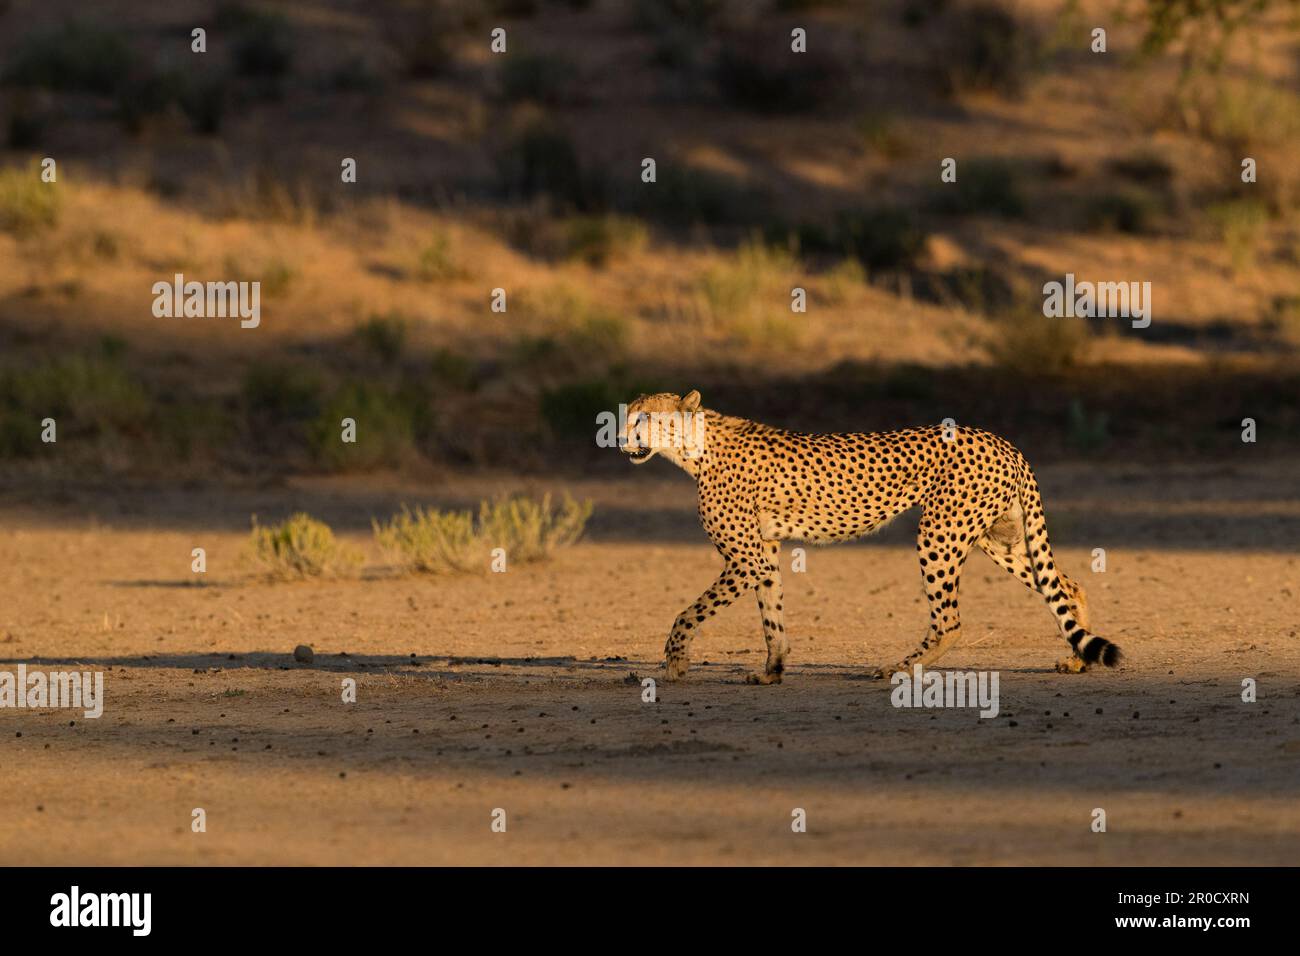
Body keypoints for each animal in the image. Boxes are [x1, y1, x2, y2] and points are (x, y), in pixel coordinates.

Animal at [619, 390, 1120, 684]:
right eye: (627, 418)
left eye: (644, 419)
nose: (622, 441)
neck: (695, 447)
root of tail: (1002, 442)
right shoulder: (763, 554)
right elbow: (771, 615)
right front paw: (773, 670)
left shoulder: (746, 559)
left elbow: (688, 612)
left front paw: (674, 661)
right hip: (997, 537)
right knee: (1066, 585)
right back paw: (1078, 658)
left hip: (940, 534)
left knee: (950, 620)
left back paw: (898, 667)